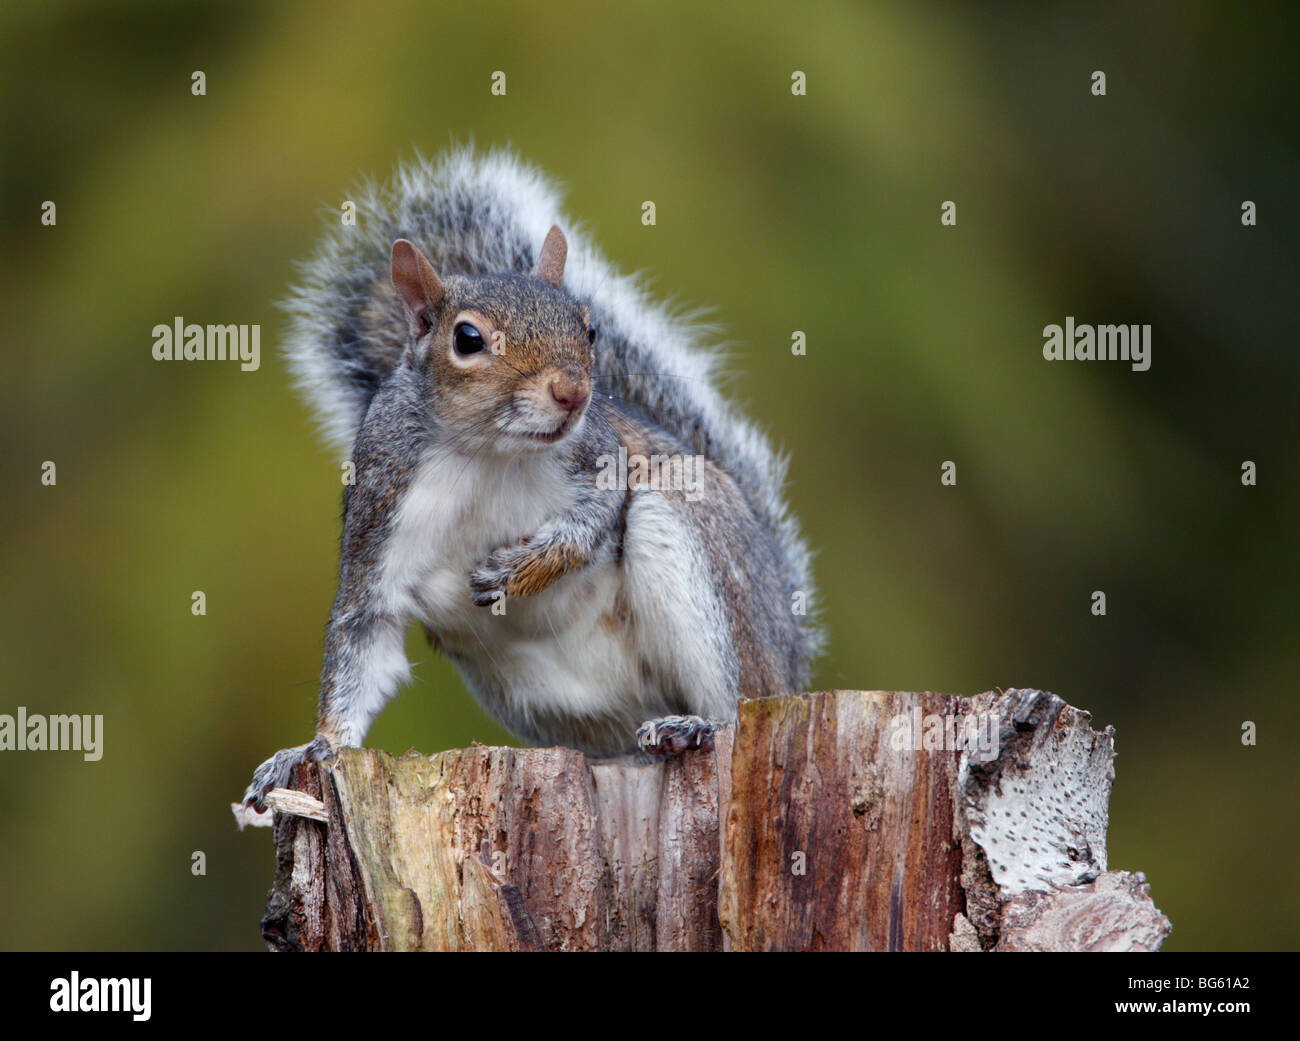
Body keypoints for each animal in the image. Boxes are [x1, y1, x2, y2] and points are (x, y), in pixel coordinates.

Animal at [241, 148, 821, 812]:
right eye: (467, 338)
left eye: (589, 329)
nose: (572, 392)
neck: (489, 454)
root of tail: (788, 656)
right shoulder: (380, 508)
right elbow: (364, 639)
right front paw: (312, 750)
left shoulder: (600, 457)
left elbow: (593, 520)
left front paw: (521, 570)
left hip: (695, 540)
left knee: (739, 700)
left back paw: (697, 724)